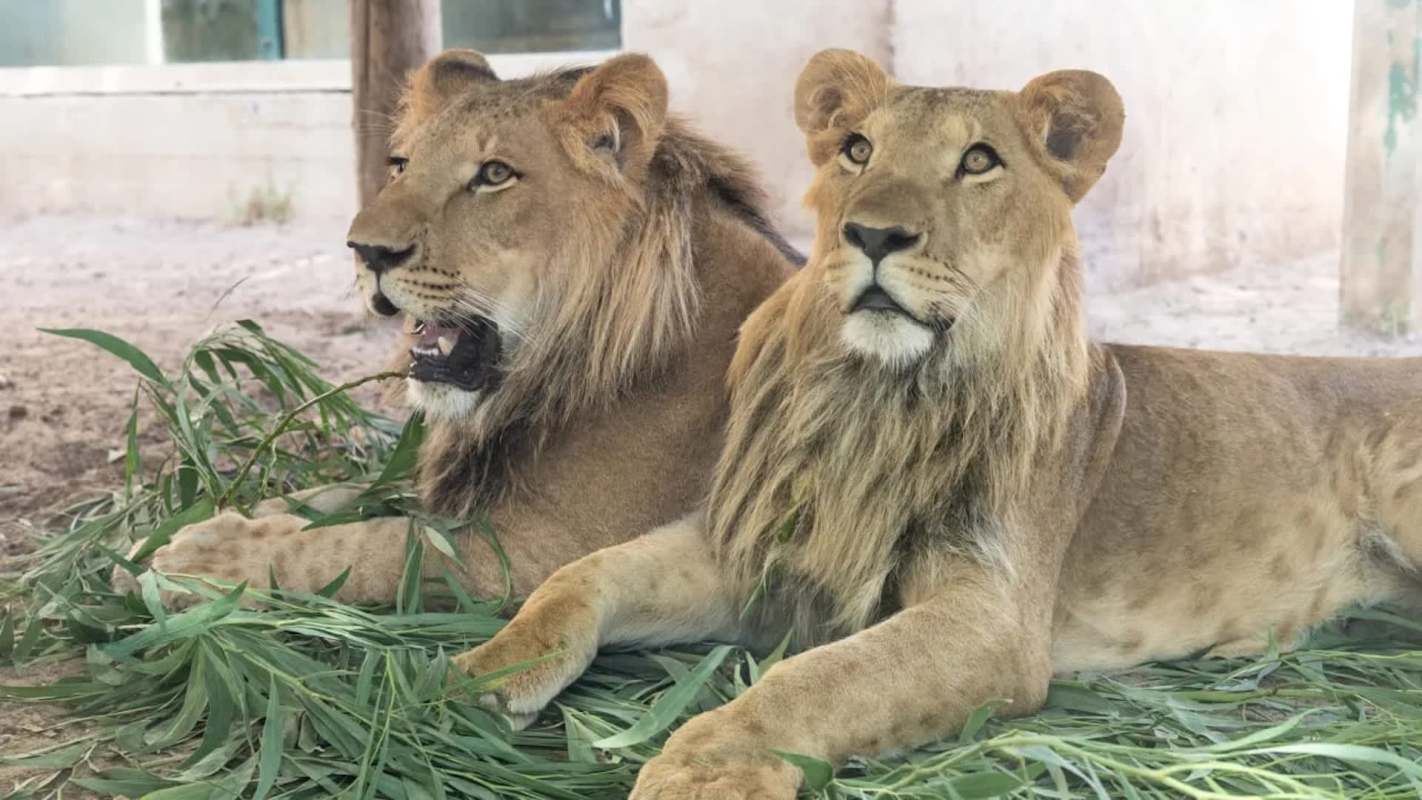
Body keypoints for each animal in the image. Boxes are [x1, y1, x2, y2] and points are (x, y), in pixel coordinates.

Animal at [112, 50, 796, 604]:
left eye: (493, 174)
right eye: (400, 165)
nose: (366, 251)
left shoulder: (546, 548)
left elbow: (374, 544)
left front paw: (211, 559)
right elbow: (336, 494)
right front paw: (159, 535)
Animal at [453, 48, 1422, 798]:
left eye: (980, 162)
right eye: (857, 150)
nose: (873, 235)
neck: (878, 395)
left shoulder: (993, 615)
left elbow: (816, 677)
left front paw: (704, 766)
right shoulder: (768, 546)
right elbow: (581, 576)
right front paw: (470, 675)